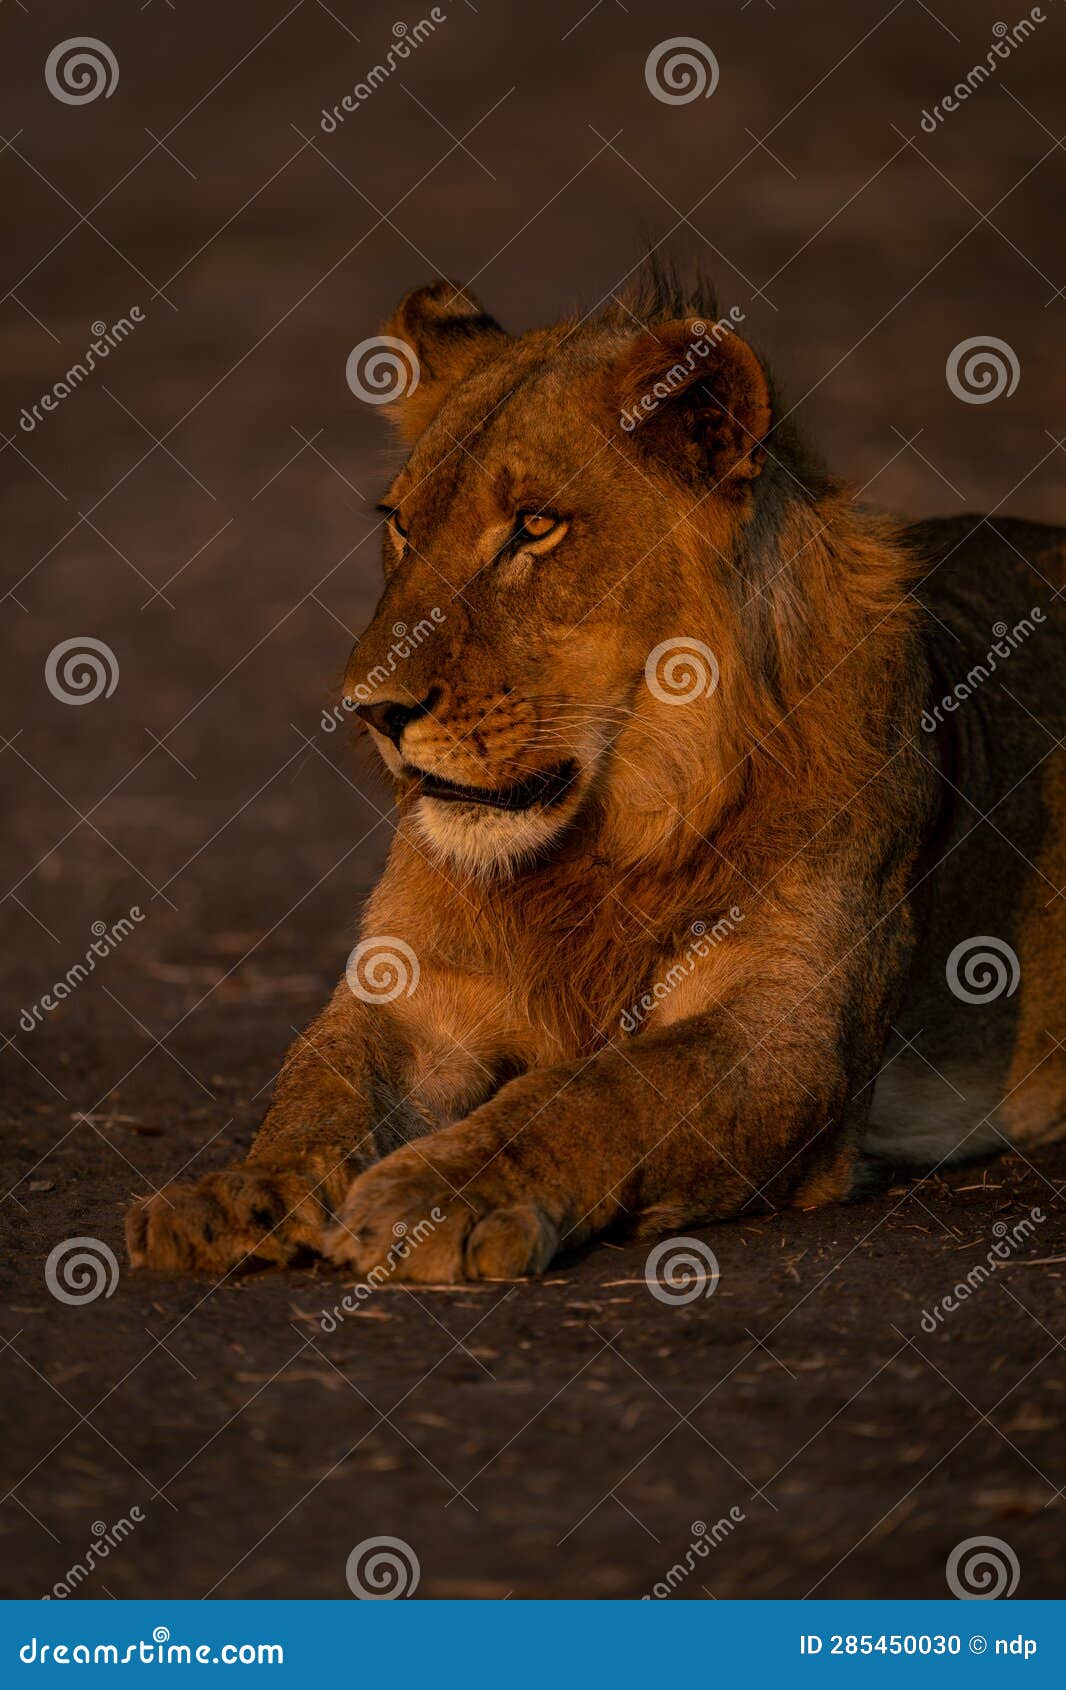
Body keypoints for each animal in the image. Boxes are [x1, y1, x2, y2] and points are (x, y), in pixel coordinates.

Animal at [127, 265, 1065, 1282]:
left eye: (535, 527)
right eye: (402, 527)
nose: (372, 709)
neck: (616, 832)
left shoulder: (786, 1033)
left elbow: (597, 1090)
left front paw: (436, 1196)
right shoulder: (418, 991)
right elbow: (319, 1079)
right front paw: (233, 1192)